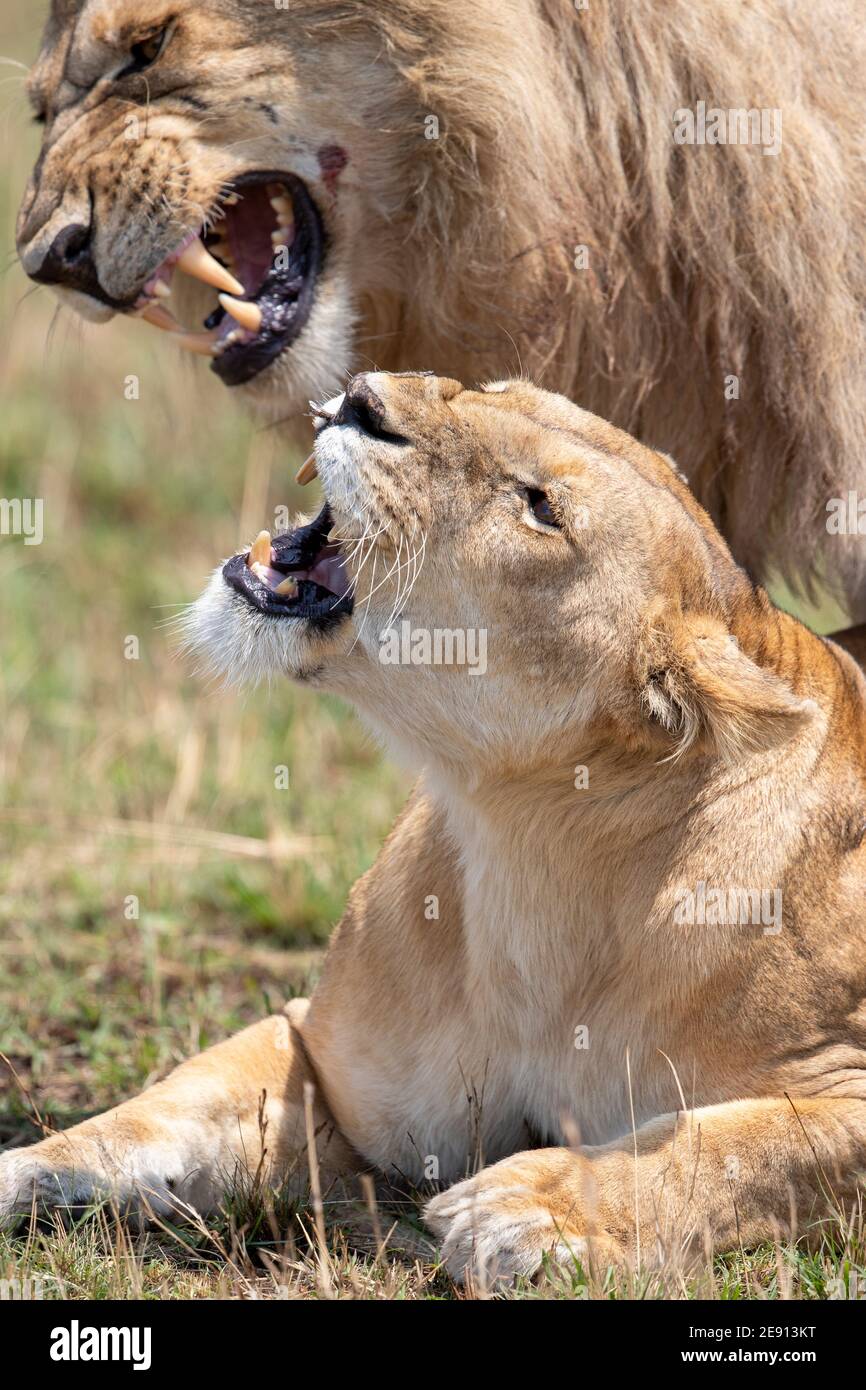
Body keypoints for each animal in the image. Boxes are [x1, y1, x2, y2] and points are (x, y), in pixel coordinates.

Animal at [4, 370, 866, 1283]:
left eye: (540, 506)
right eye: (495, 389)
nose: (360, 398)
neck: (530, 848)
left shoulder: (834, 1084)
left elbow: (741, 1146)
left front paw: (528, 1207)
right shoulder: (321, 1051)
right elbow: (178, 1098)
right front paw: (33, 1165)